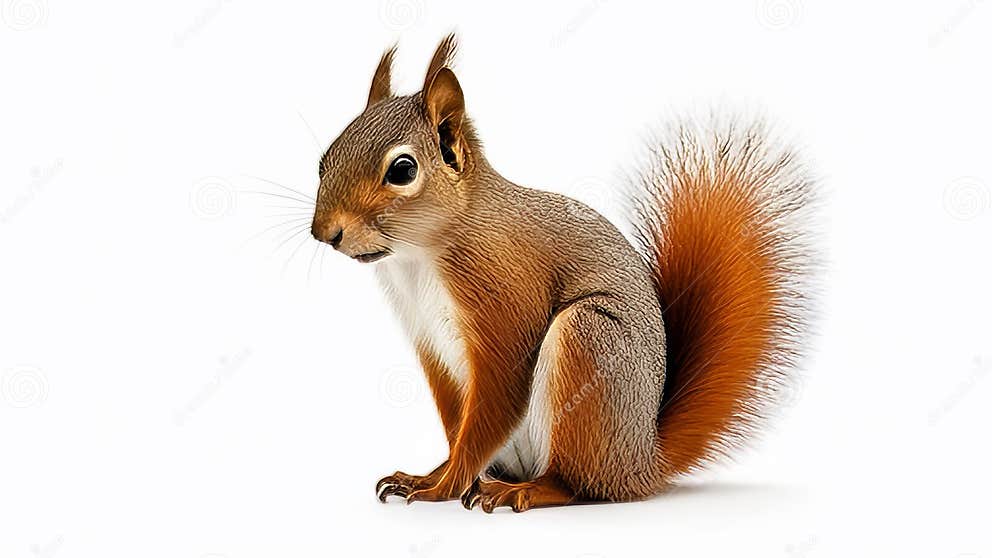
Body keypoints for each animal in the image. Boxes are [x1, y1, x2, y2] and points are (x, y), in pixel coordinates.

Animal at [310, 35, 815, 512]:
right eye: (324, 159)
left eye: (402, 169)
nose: (324, 232)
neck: (418, 257)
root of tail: (641, 463)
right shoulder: (429, 341)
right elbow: (458, 420)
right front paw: (432, 477)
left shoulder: (505, 292)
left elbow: (496, 394)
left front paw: (446, 486)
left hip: (590, 345)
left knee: (577, 483)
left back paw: (525, 491)